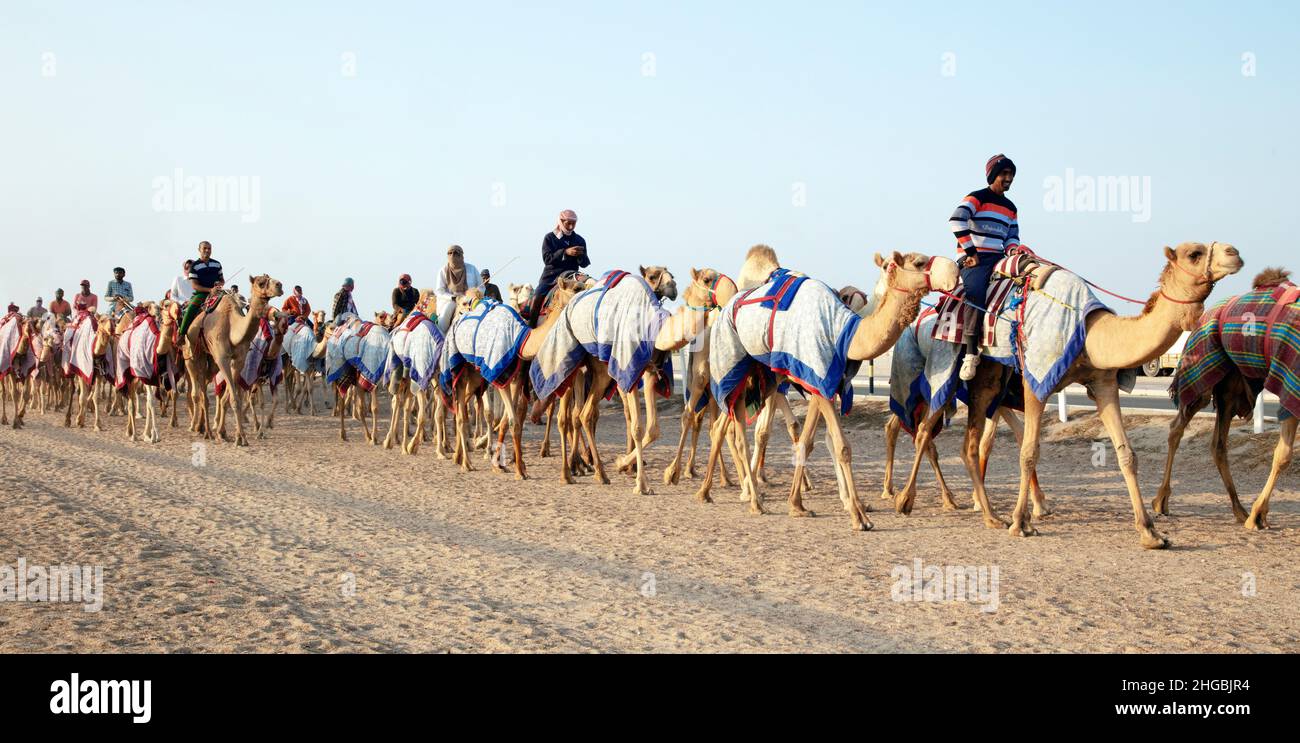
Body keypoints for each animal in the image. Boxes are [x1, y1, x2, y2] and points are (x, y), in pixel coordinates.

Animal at [184, 275, 285, 446]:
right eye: (261, 282)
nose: (279, 285)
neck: (233, 329)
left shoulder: (239, 360)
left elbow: (232, 398)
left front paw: (233, 435)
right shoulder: (222, 358)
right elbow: (235, 398)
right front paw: (240, 438)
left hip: (212, 363)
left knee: (207, 388)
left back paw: (207, 429)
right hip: (194, 354)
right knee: (199, 393)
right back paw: (203, 430)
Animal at [695, 250, 959, 531]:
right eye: (919, 263)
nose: (955, 270)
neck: (843, 332)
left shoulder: (822, 382)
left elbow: (810, 441)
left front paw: (799, 505)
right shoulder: (818, 374)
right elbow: (841, 446)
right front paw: (858, 516)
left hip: (765, 376)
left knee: (724, 426)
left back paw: (708, 492)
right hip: (735, 365)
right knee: (738, 432)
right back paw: (751, 498)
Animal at [894, 242, 1242, 549]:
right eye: (1194, 253)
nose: (1234, 253)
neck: (1091, 331)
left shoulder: (1103, 382)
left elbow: (1127, 454)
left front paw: (1151, 533)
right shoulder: (1036, 379)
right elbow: (1029, 451)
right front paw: (1021, 523)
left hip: (989, 379)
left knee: (970, 444)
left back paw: (991, 515)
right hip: (947, 365)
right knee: (925, 430)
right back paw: (906, 501)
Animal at [1155, 267, 1297, 530]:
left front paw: (1257, 514)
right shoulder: (1292, 384)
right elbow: (1283, 455)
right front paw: (1258, 515)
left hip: (1230, 389)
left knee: (1217, 444)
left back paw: (1239, 509)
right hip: (1203, 376)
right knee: (1177, 427)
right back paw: (1161, 501)